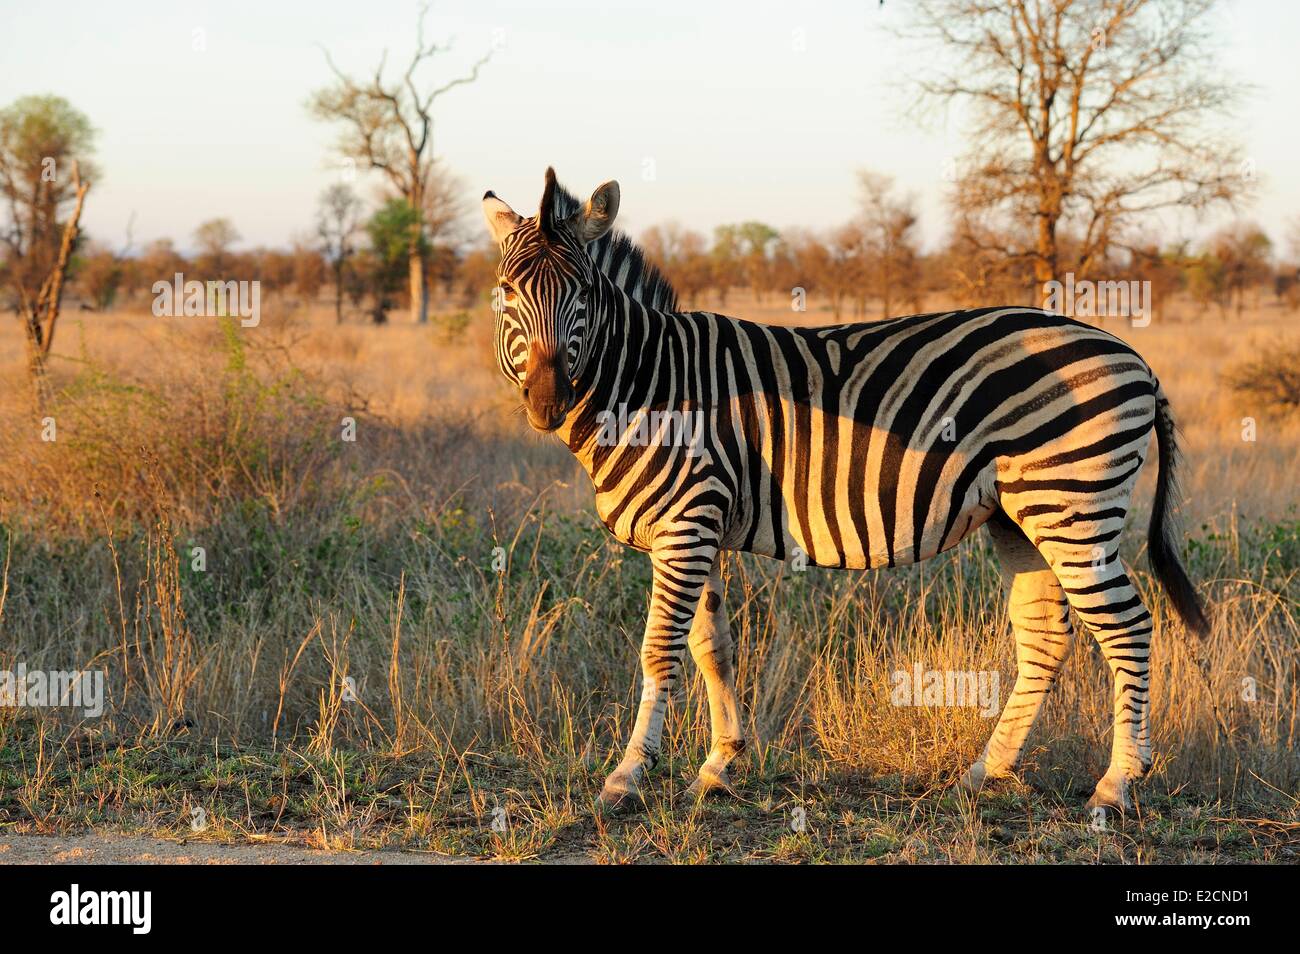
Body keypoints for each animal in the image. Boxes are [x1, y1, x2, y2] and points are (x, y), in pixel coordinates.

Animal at [481, 168, 1210, 814]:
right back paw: (986, 771)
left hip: (1074, 504)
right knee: (1044, 636)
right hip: (1020, 516)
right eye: (506, 293)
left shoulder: (686, 524)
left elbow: (659, 650)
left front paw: (627, 778)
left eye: (583, 293)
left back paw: (1117, 785)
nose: (546, 402)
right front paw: (718, 766)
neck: (653, 382)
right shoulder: (698, 527)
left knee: (1127, 626)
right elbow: (713, 648)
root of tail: (1134, 356)